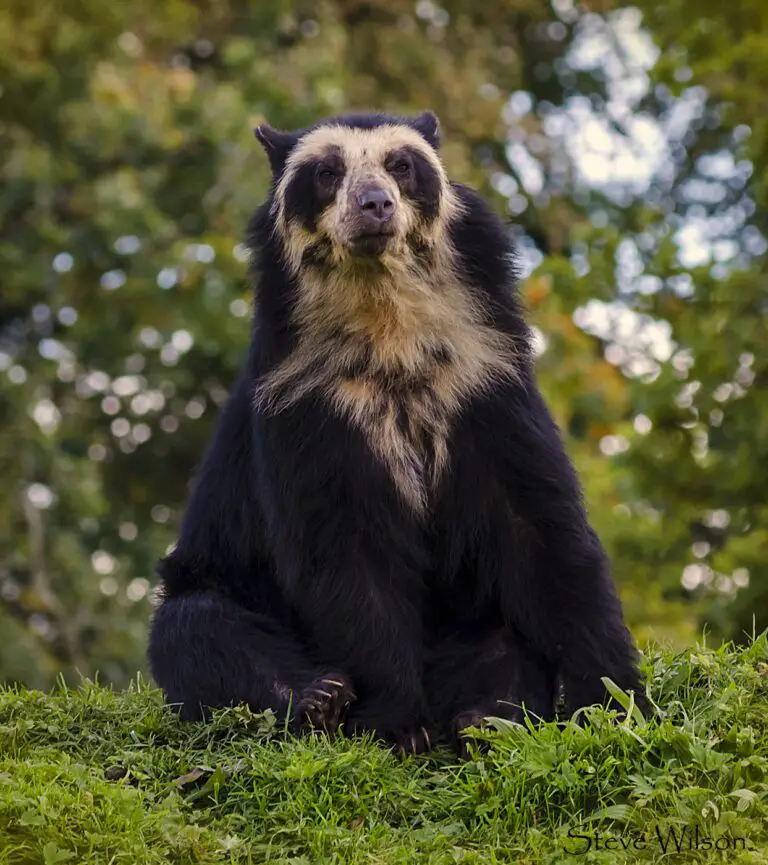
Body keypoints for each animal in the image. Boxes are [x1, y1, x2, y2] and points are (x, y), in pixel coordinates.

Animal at [148, 110, 645, 757]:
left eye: (401, 166)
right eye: (327, 172)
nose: (375, 206)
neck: (387, 324)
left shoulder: (487, 385)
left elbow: (542, 528)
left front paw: (615, 703)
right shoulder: (310, 404)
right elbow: (344, 553)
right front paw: (396, 727)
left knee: (502, 644)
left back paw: (486, 719)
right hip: (215, 583)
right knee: (195, 628)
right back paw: (319, 698)